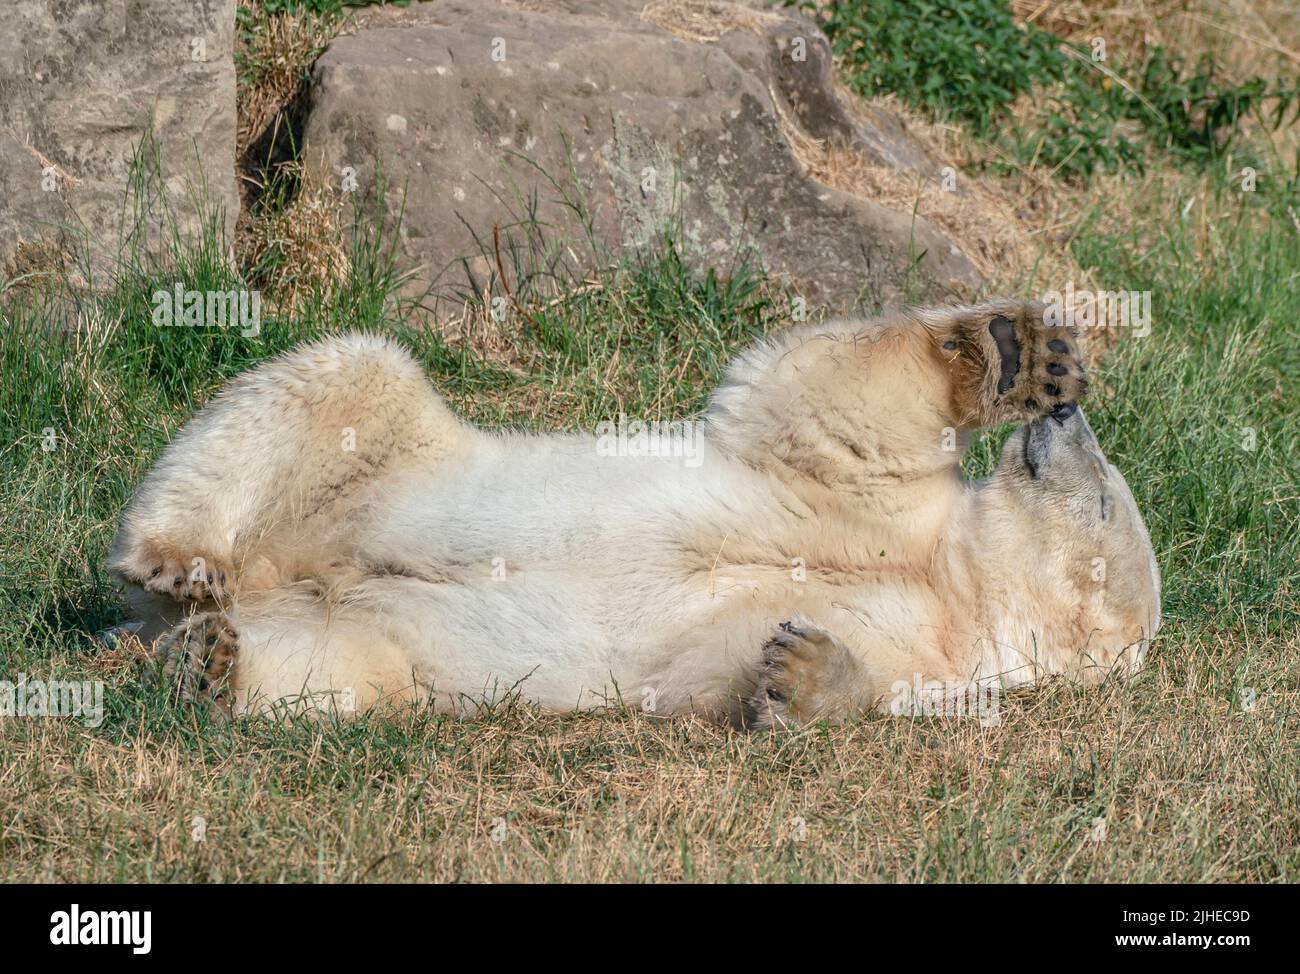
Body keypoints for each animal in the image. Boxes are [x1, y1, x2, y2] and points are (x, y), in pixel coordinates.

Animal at [107, 299, 1162, 728]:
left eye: (1107, 497)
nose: (1068, 420)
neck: (948, 582)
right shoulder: (876, 500)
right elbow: (832, 399)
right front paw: (1018, 354)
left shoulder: (939, 652)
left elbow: (728, 666)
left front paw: (804, 672)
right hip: (379, 458)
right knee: (335, 381)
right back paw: (177, 557)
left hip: (362, 639)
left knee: (320, 674)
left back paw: (206, 661)